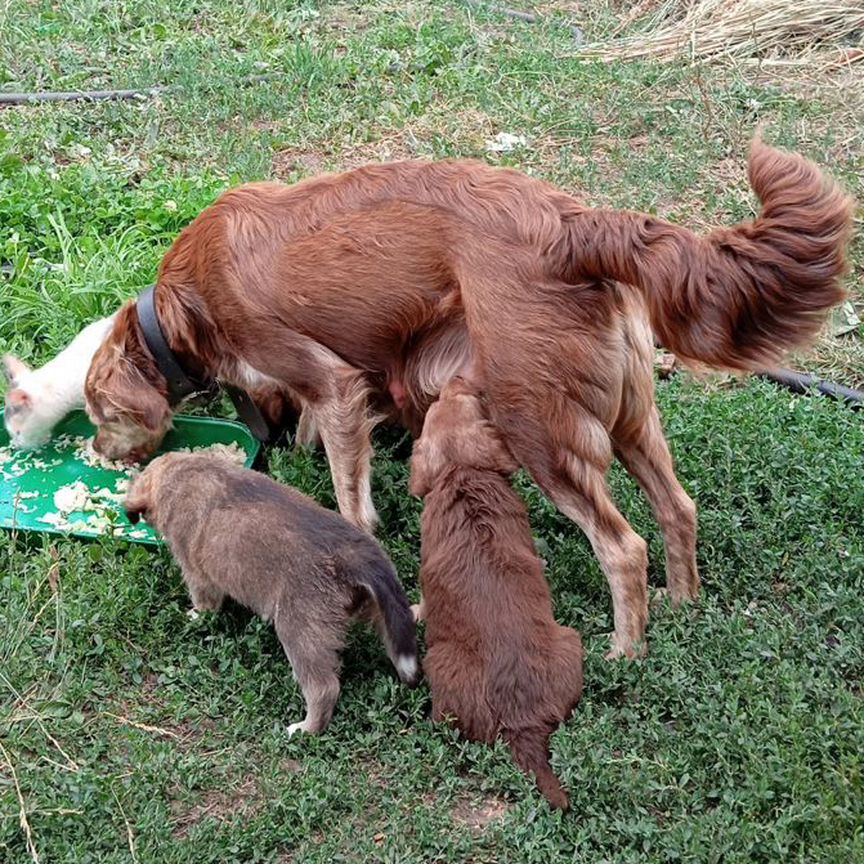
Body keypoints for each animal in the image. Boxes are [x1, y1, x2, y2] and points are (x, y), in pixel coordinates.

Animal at [84, 138, 852, 660]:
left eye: (99, 415)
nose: (93, 448)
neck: (182, 307)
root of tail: (575, 226)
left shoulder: (334, 383)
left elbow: (350, 497)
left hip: (539, 426)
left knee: (622, 547)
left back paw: (625, 652)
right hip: (630, 419)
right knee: (679, 508)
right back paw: (683, 604)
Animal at [124, 452, 422, 736]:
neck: (179, 473)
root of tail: (356, 555)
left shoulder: (196, 572)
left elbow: (204, 600)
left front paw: (195, 615)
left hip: (300, 630)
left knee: (324, 688)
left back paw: (305, 728)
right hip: (386, 611)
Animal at [412, 378, 588, 808]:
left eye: (460, 398)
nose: (454, 379)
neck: (461, 472)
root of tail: (521, 719)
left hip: (438, 662)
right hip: (569, 640)